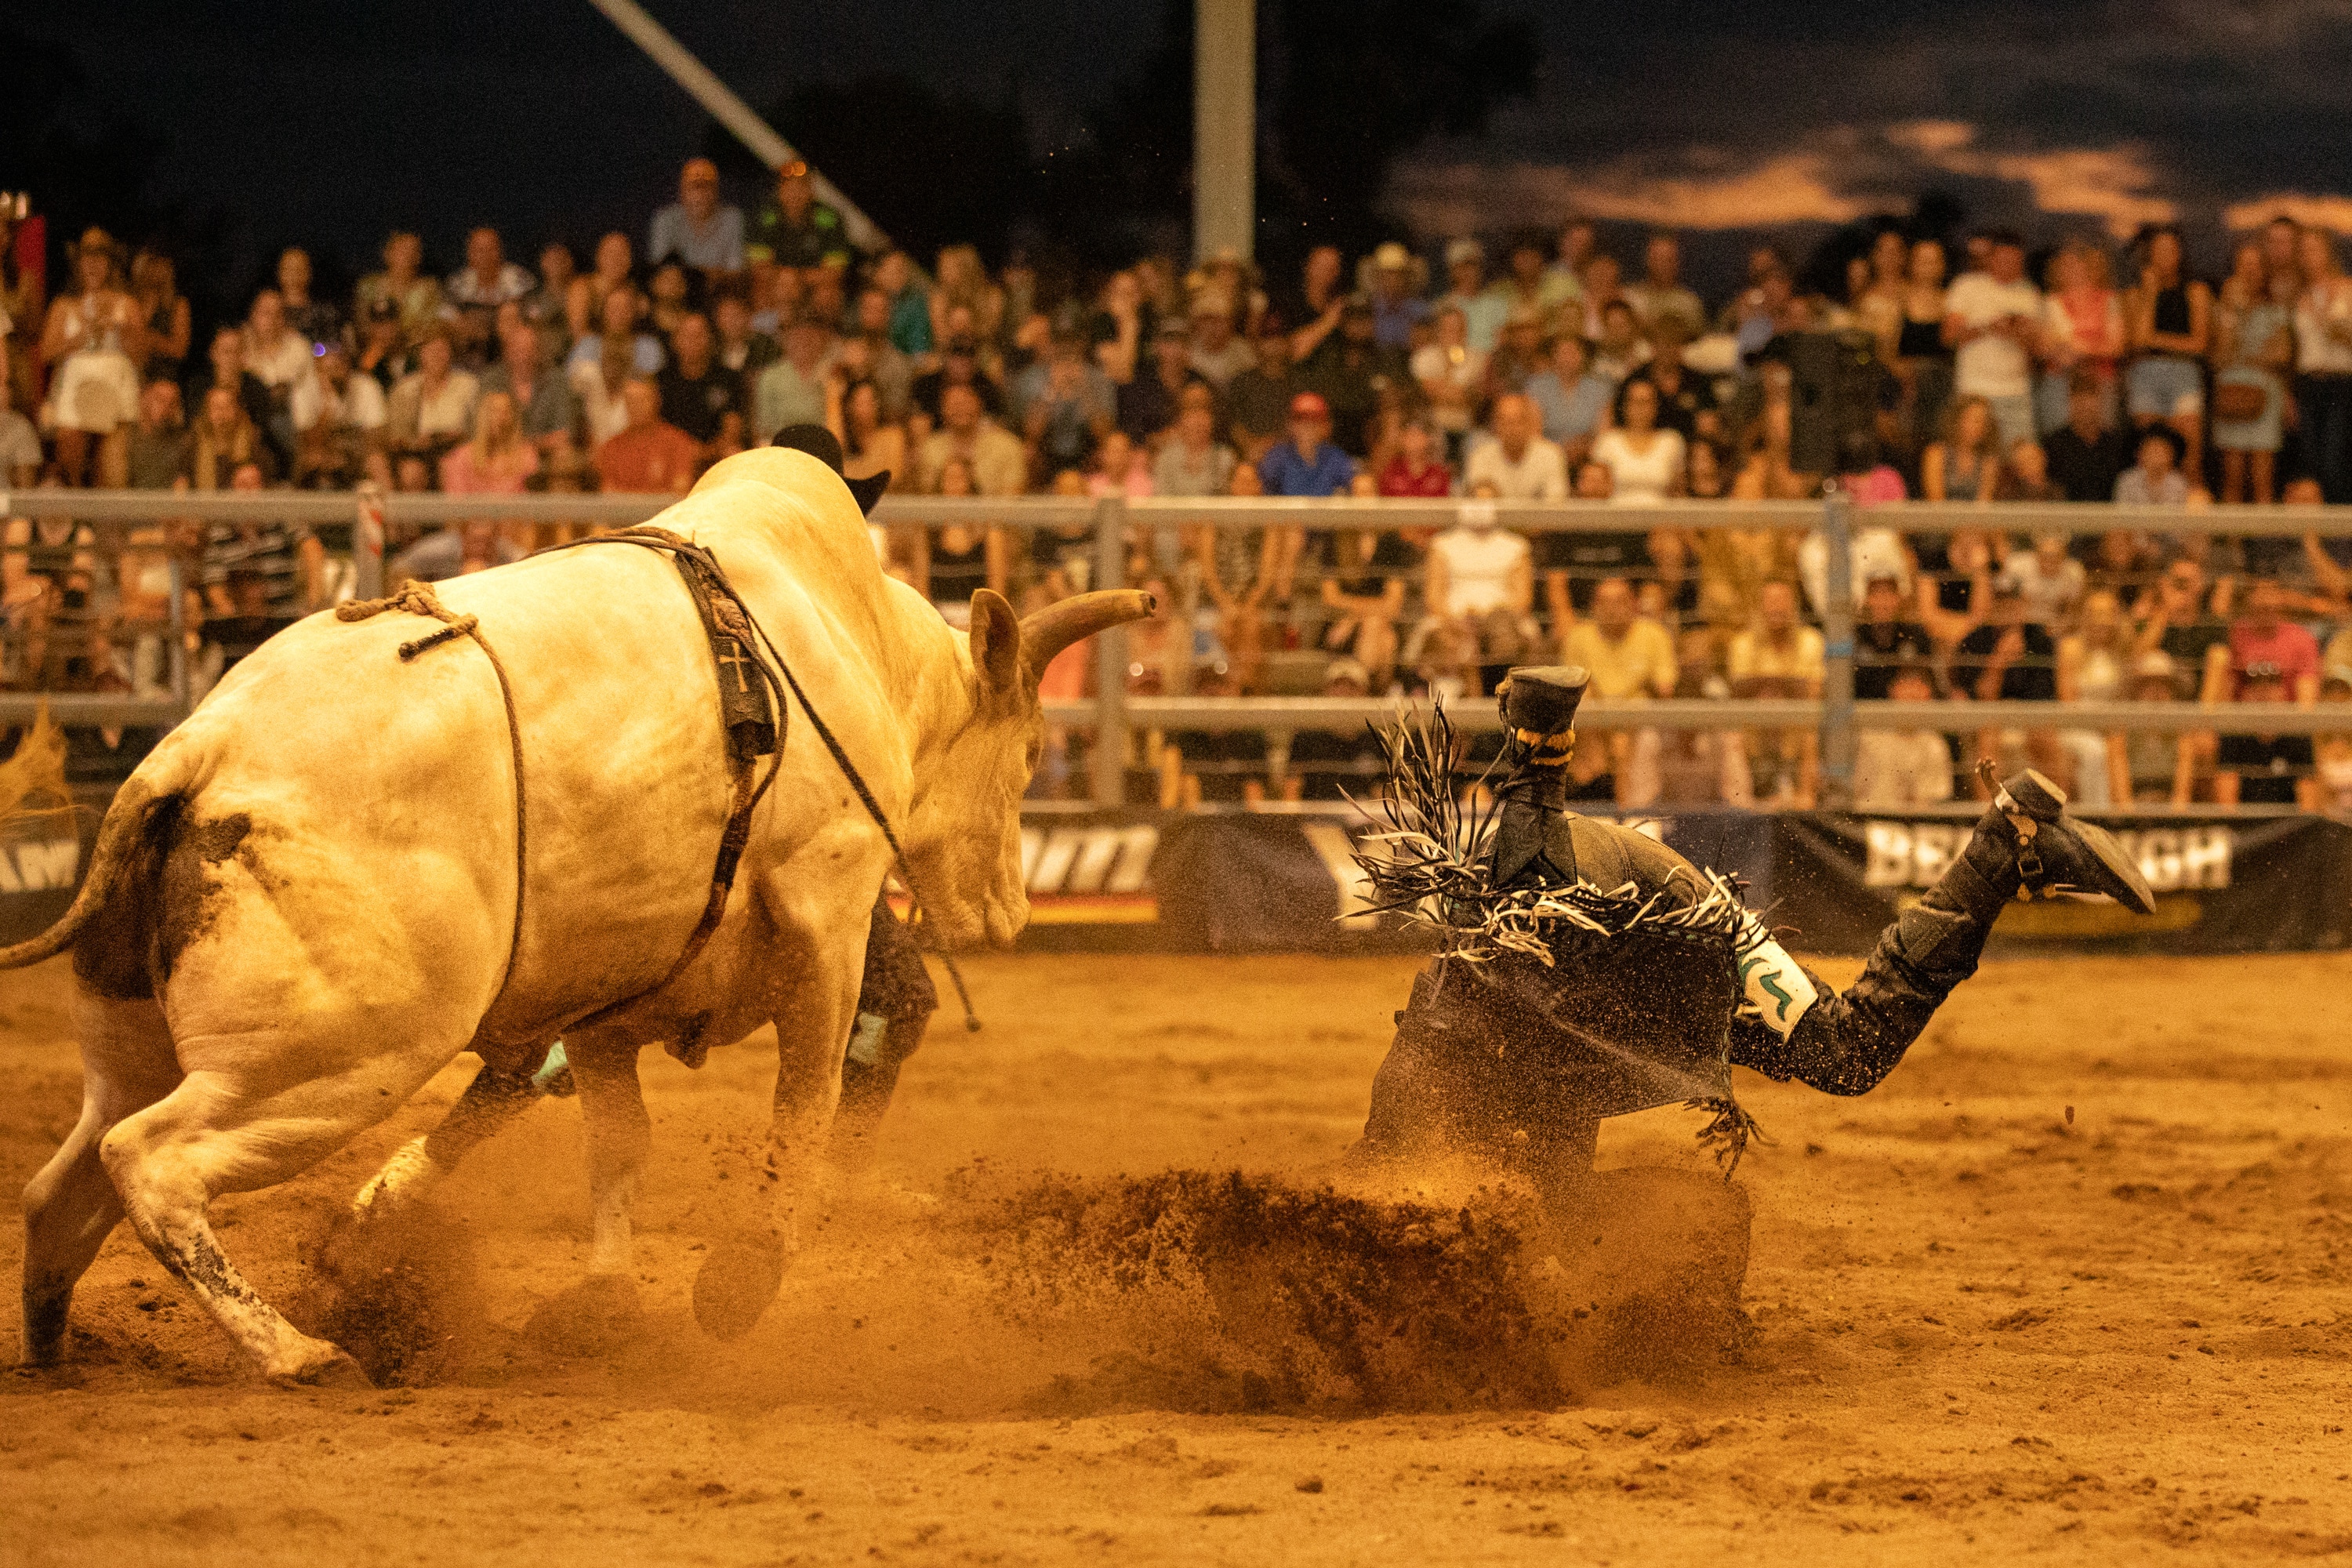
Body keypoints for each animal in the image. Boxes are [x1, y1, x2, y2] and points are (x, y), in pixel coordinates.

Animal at [6, 447, 1151, 1386]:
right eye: (1033, 748)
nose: (1009, 909)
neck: (854, 649)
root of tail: (194, 752)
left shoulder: (609, 991)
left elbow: (621, 1143)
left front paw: (599, 1300)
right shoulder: (830, 915)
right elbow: (803, 1106)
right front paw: (738, 1284)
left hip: (144, 1046)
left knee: (66, 1184)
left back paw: (61, 1345)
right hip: (339, 1052)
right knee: (150, 1162)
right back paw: (299, 1351)